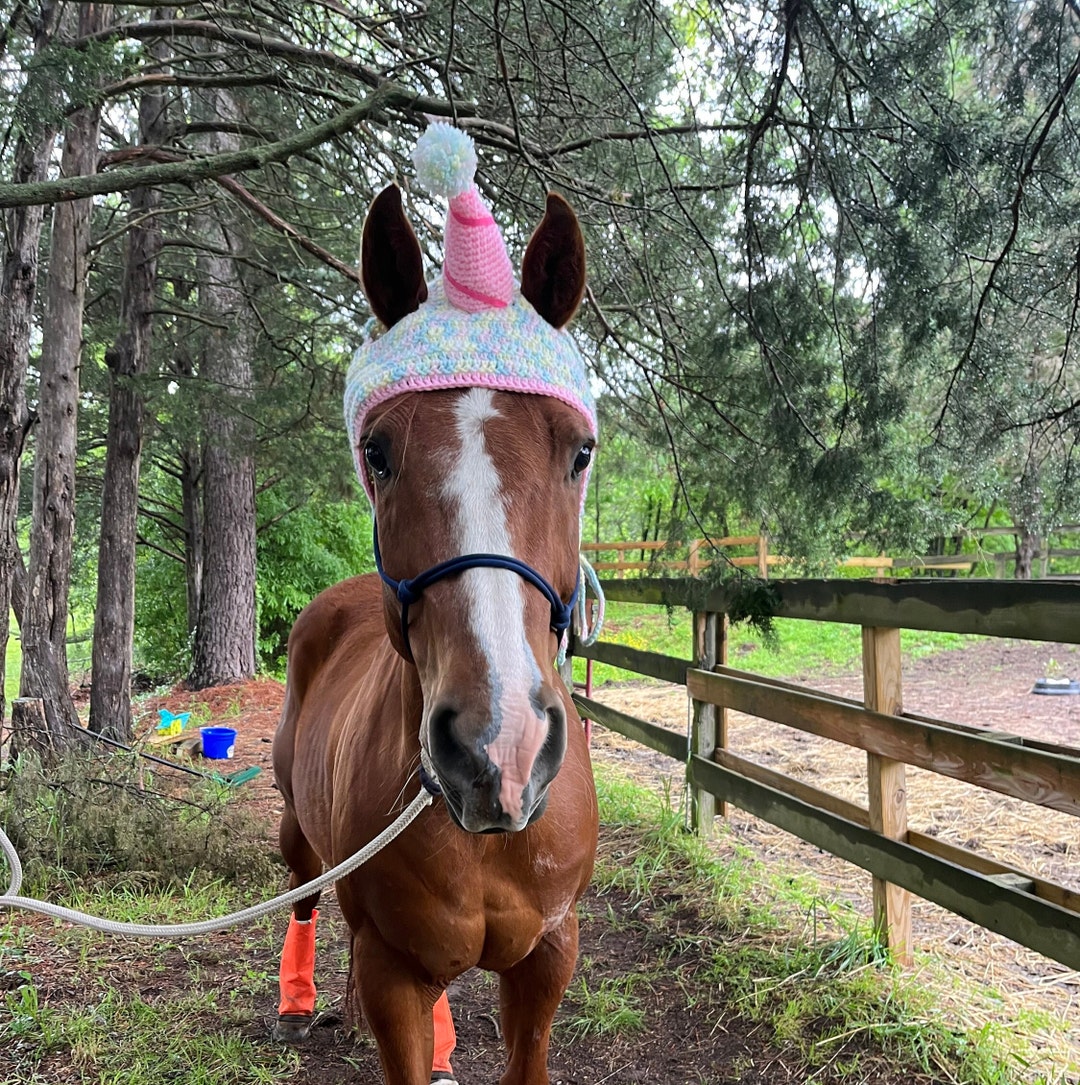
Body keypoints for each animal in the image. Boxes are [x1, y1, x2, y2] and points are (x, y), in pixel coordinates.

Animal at [271, 144, 599, 1084]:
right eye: (378, 451)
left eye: (579, 452)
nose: (501, 747)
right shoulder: (391, 970)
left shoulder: (549, 957)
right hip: (294, 820)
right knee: (304, 888)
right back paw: (299, 999)